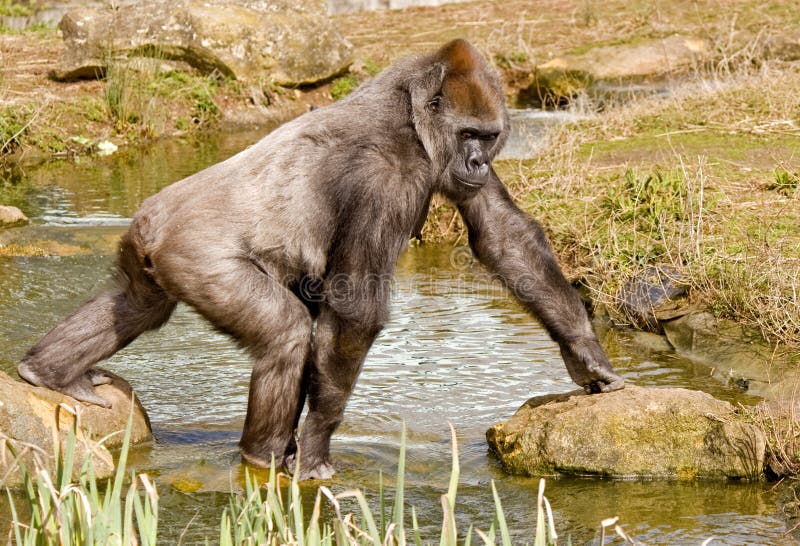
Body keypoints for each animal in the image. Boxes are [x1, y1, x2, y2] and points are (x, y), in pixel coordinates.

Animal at [17, 39, 624, 480]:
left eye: (489, 136)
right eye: (468, 133)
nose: (477, 160)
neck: (409, 113)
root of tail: (151, 223)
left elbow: (503, 236)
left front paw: (584, 352)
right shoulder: (383, 176)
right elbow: (355, 308)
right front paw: (314, 447)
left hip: (146, 256)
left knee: (137, 306)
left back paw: (46, 372)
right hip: (194, 254)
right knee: (284, 334)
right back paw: (262, 456)